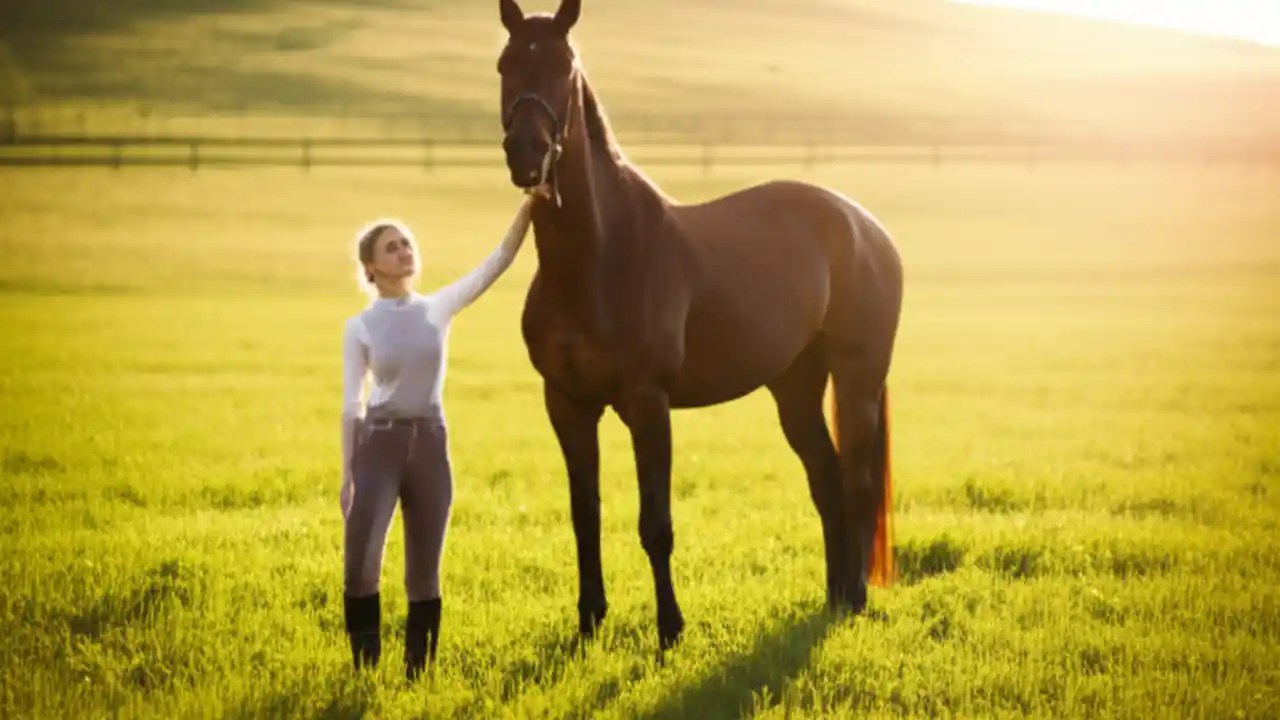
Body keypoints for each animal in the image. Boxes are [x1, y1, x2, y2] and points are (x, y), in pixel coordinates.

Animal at [497, 0, 903, 650]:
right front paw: (589, 622)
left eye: (565, 66)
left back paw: (856, 598)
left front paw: (670, 629)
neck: (597, 256)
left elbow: (655, 523)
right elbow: (585, 516)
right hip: (795, 386)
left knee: (857, 483)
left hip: (858, 378)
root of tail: (867, 226)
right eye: (506, 64)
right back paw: (836, 594)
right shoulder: (566, 403)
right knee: (826, 479)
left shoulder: (648, 402)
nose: (526, 153)